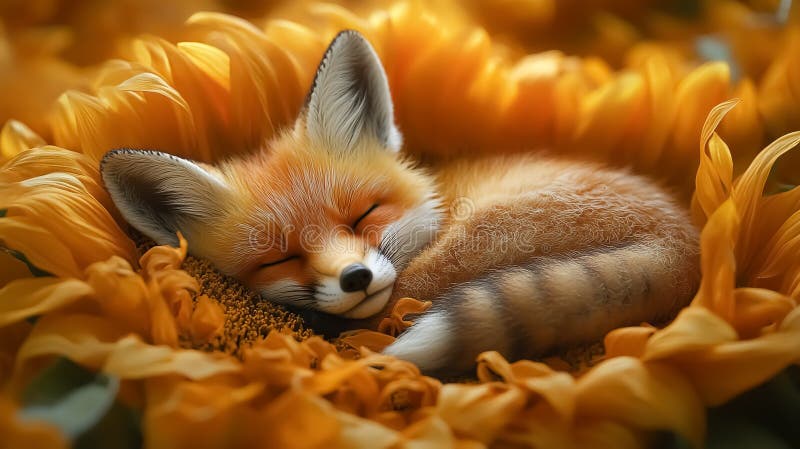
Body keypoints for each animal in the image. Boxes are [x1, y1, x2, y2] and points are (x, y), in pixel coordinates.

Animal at [100, 30, 700, 376]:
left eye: (364, 215)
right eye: (280, 258)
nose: (356, 278)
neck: (440, 189)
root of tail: (686, 245)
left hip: (473, 241)